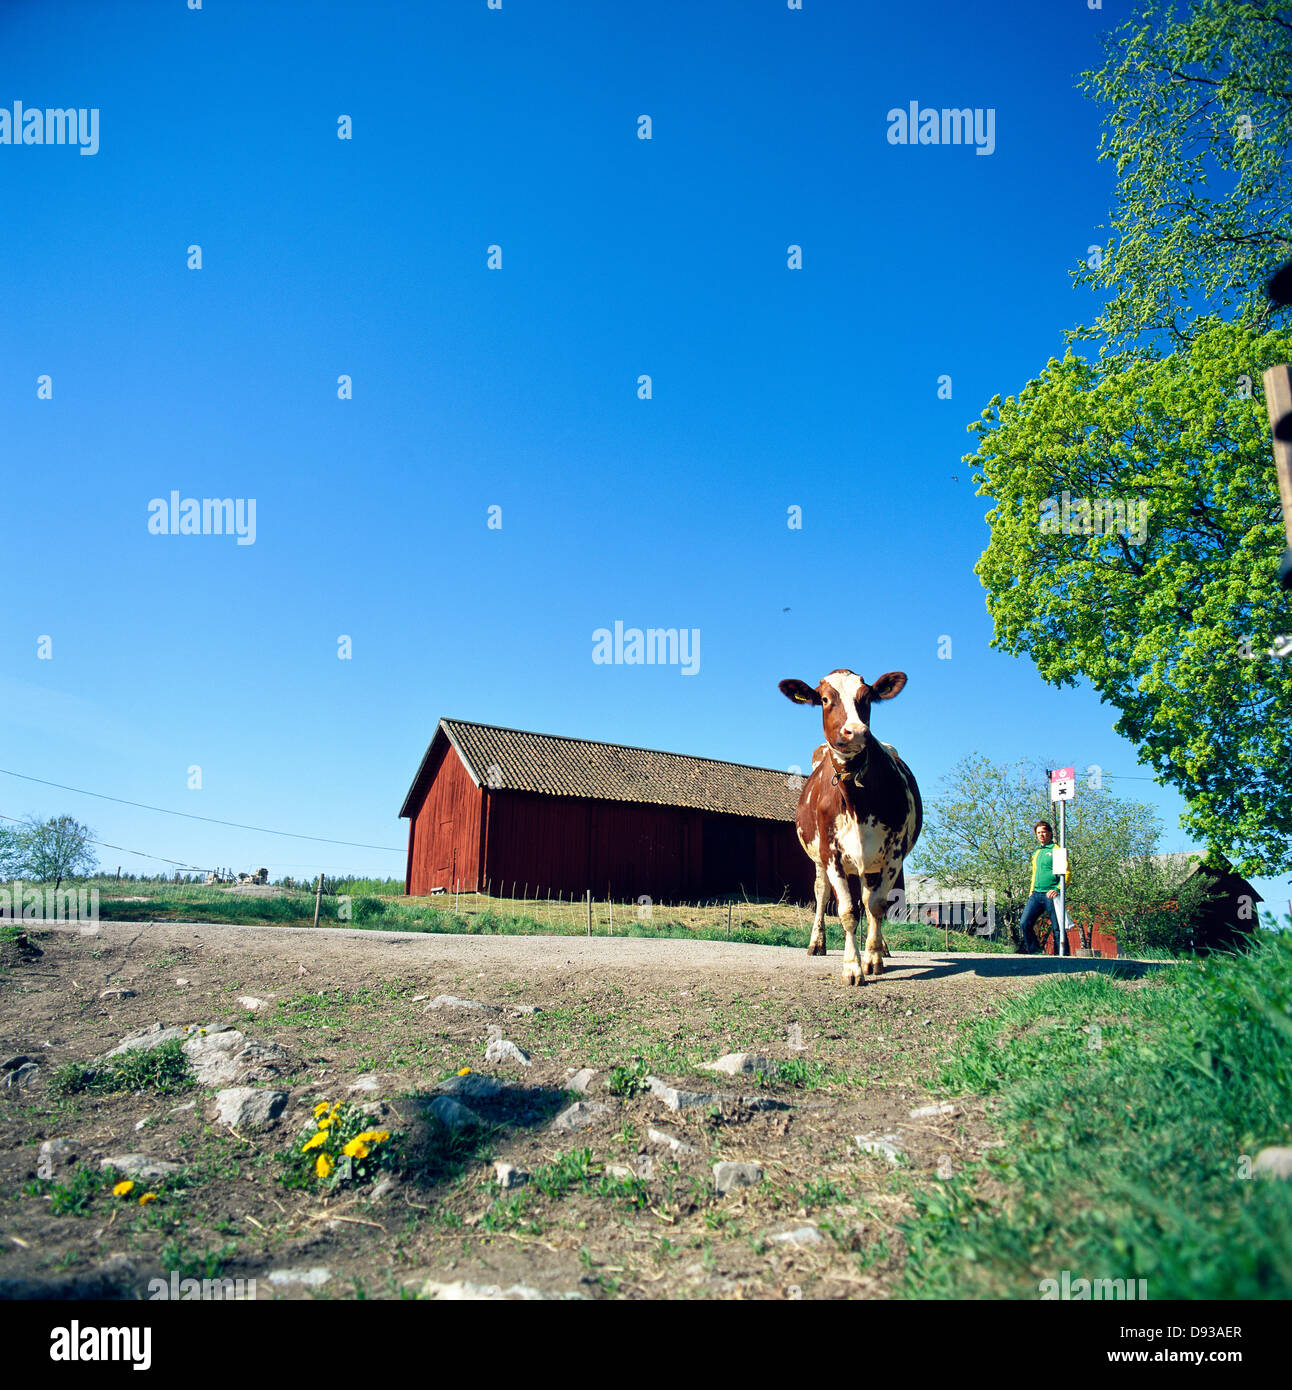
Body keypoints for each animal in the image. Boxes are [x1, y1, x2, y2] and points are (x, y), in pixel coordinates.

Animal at [779, 669, 922, 985]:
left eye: (867, 697)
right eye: (824, 699)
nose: (855, 731)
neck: (857, 799)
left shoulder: (893, 853)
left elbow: (876, 906)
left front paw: (873, 959)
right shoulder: (830, 853)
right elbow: (846, 911)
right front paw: (852, 968)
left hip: (870, 862)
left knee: (869, 901)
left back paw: (881, 948)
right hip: (820, 859)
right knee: (822, 893)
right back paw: (817, 943)